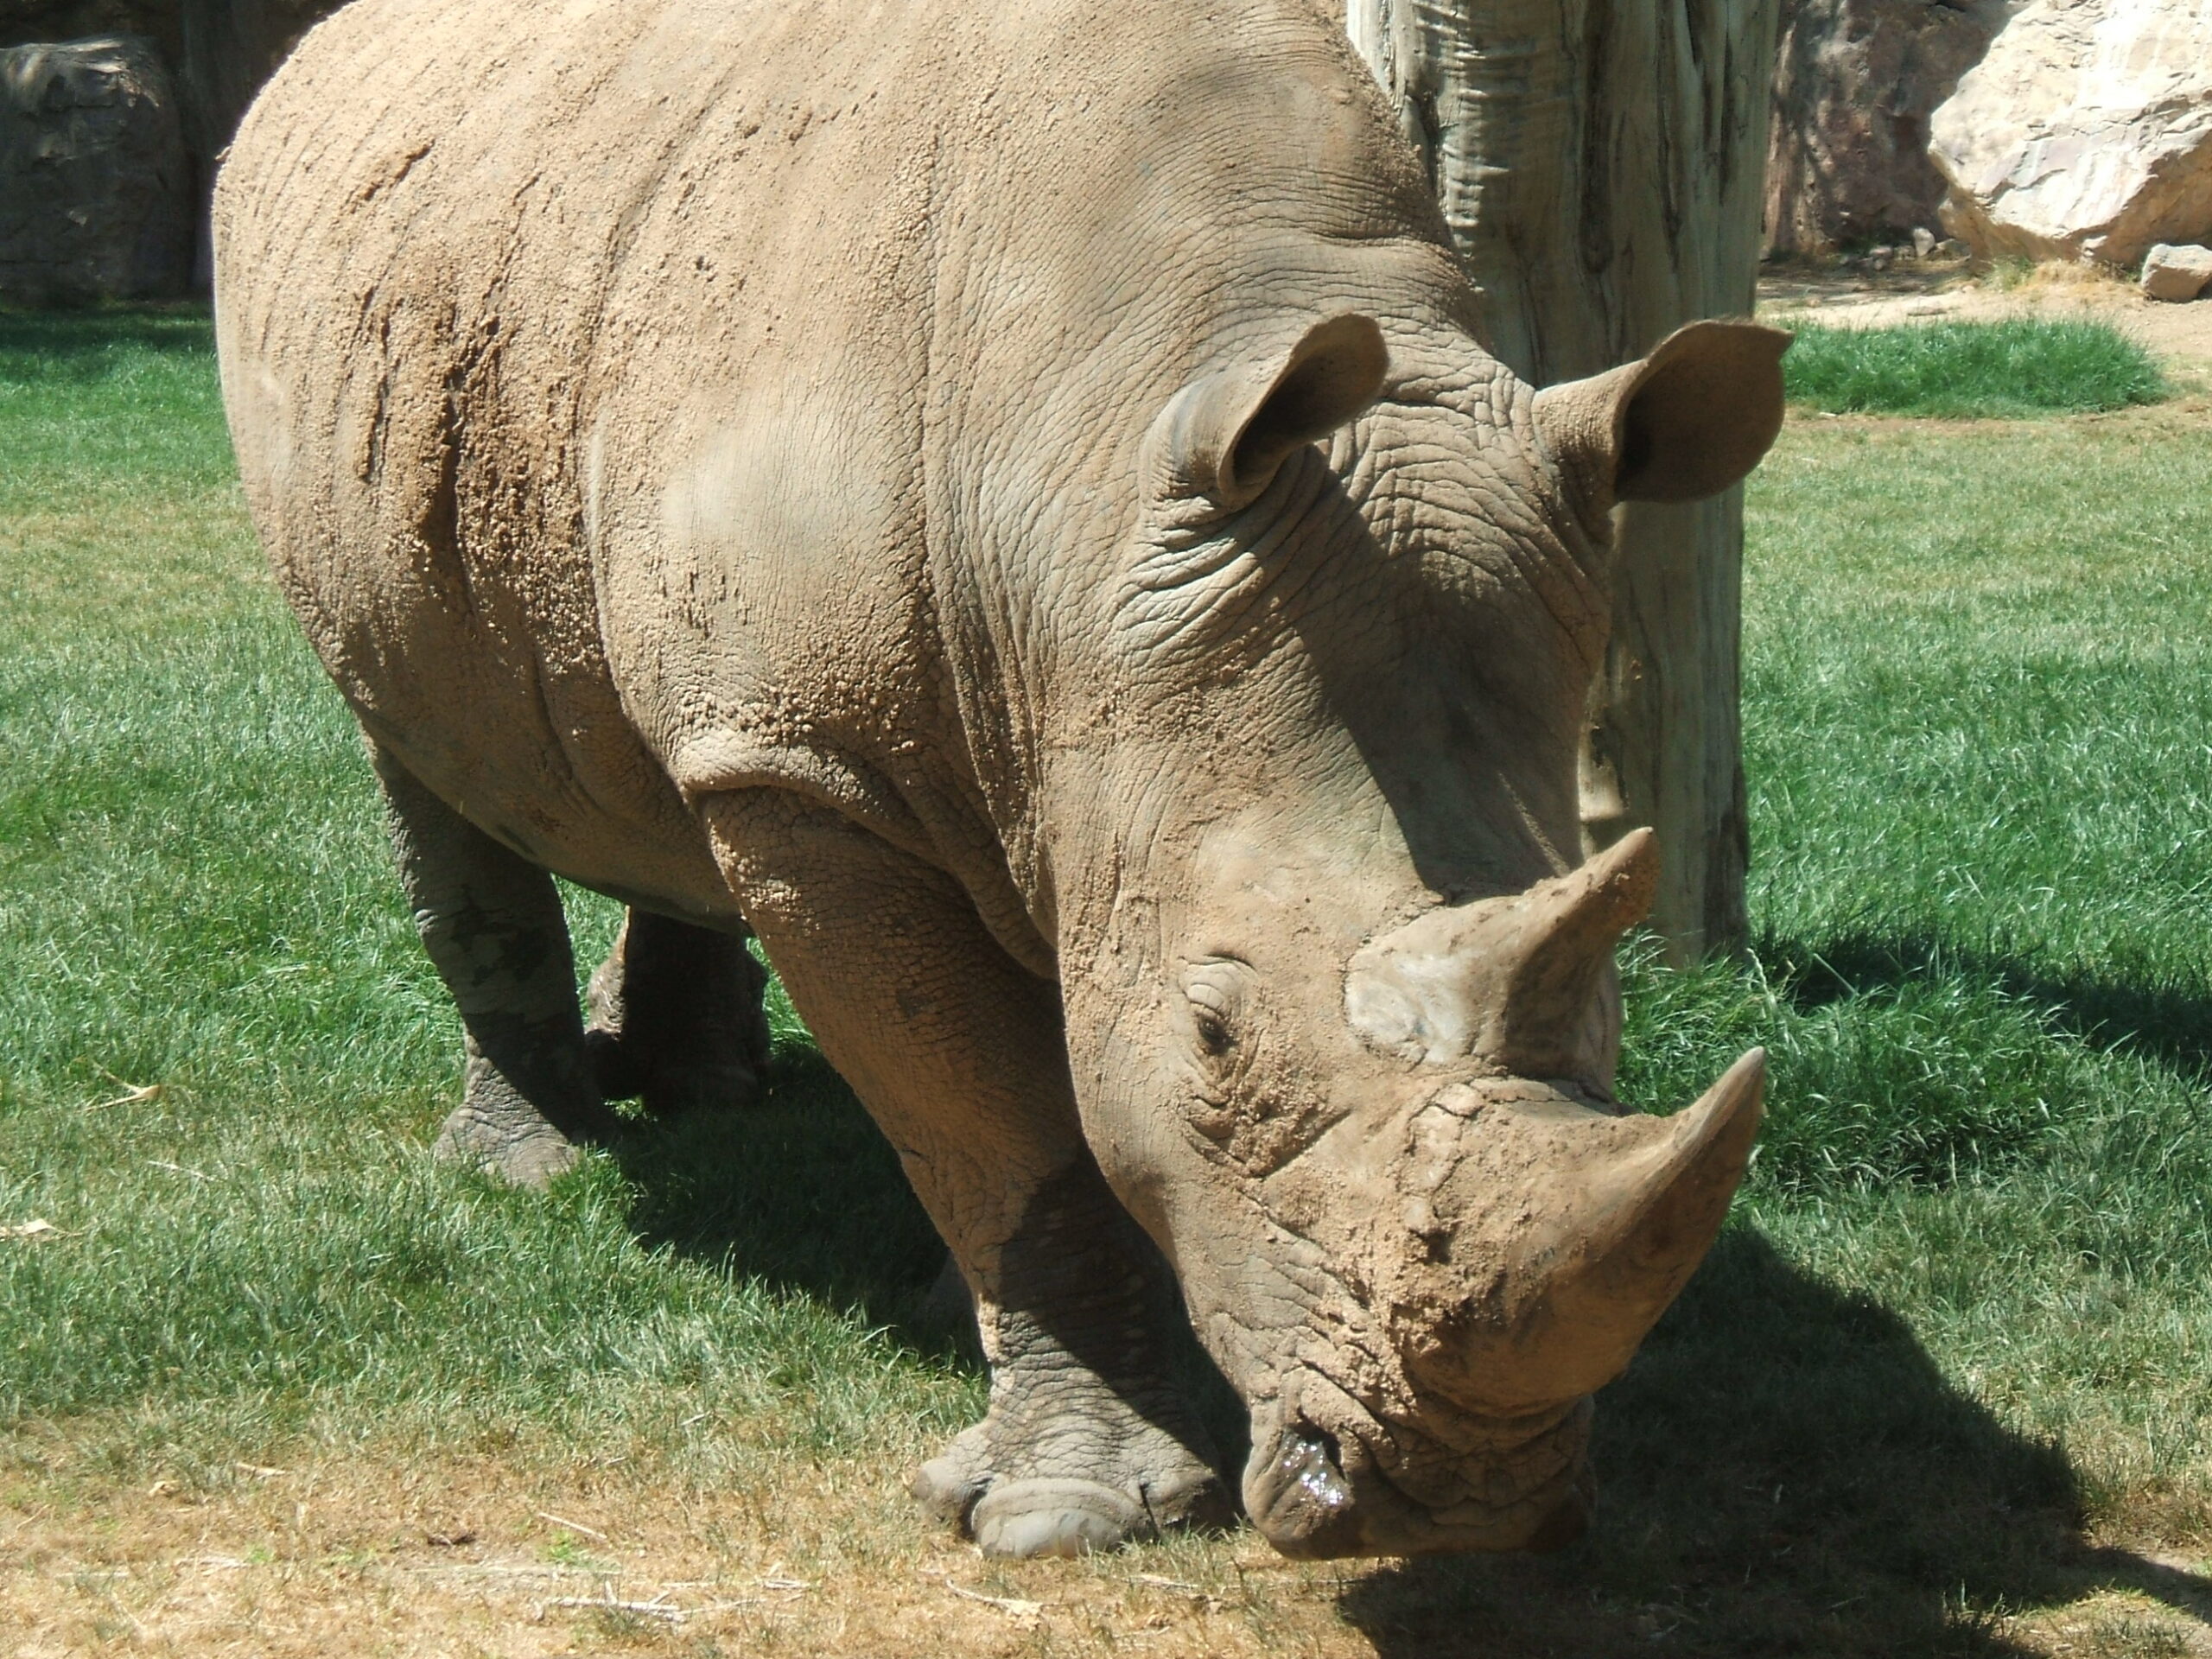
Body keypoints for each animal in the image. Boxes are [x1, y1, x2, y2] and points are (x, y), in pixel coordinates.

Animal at [213, 0, 1786, 1560]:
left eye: (1608, 1006)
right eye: (1214, 1036)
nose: (1465, 1497)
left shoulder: (1057, 739)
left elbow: (1024, 1073)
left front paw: (948, 1306)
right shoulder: (825, 774)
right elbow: (1006, 1127)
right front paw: (1066, 1517)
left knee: (657, 767)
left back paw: (709, 1089)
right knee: (417, 743)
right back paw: (535, 1168)